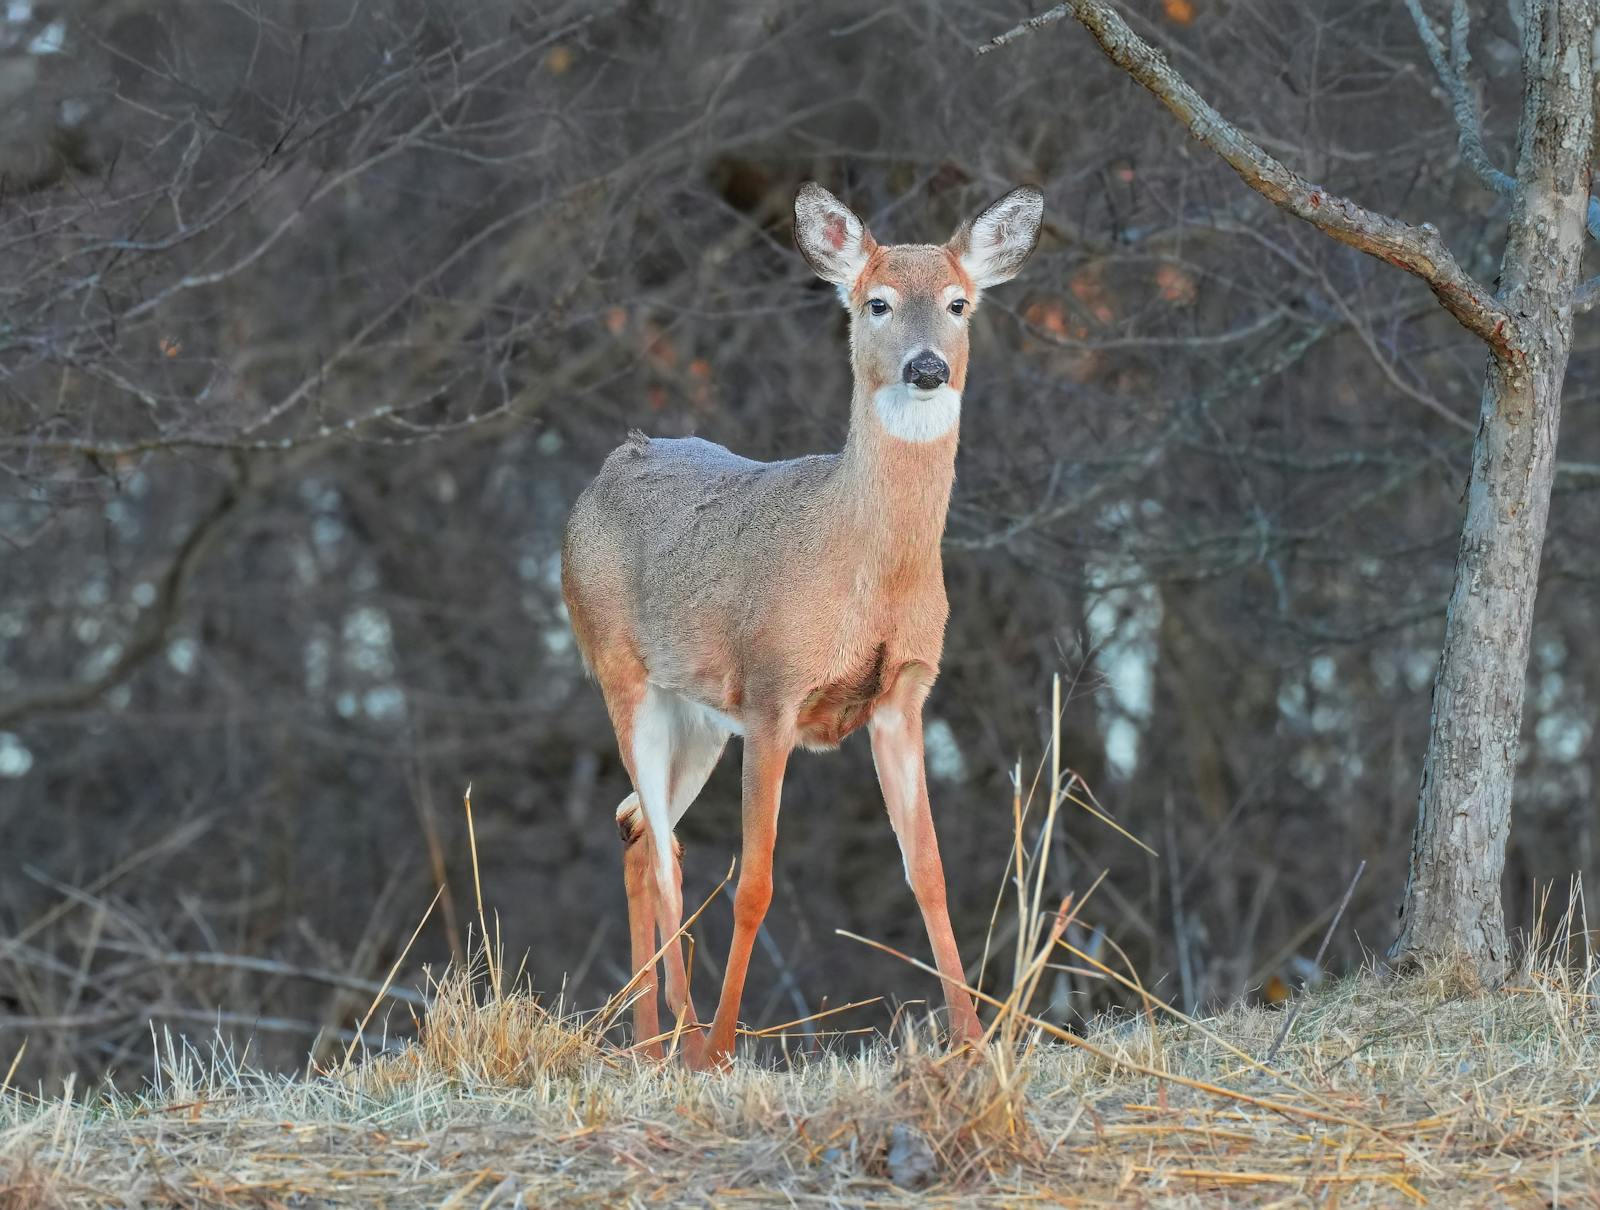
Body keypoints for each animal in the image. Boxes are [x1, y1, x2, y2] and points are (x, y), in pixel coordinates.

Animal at [561, 180, 1044, 1069]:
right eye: (877, 302)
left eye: (959, 303)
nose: (928, 367)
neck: (869, 571)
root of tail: (612, 464)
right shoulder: (774, 693)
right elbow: (755, 881)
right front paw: (722, 1049)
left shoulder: (902, 696)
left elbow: (929, 870)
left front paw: (973, 1043)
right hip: (620, 667)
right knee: (667, 848)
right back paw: (686, 1040)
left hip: (697, 713)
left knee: (638, 828)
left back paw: (649, 1048)